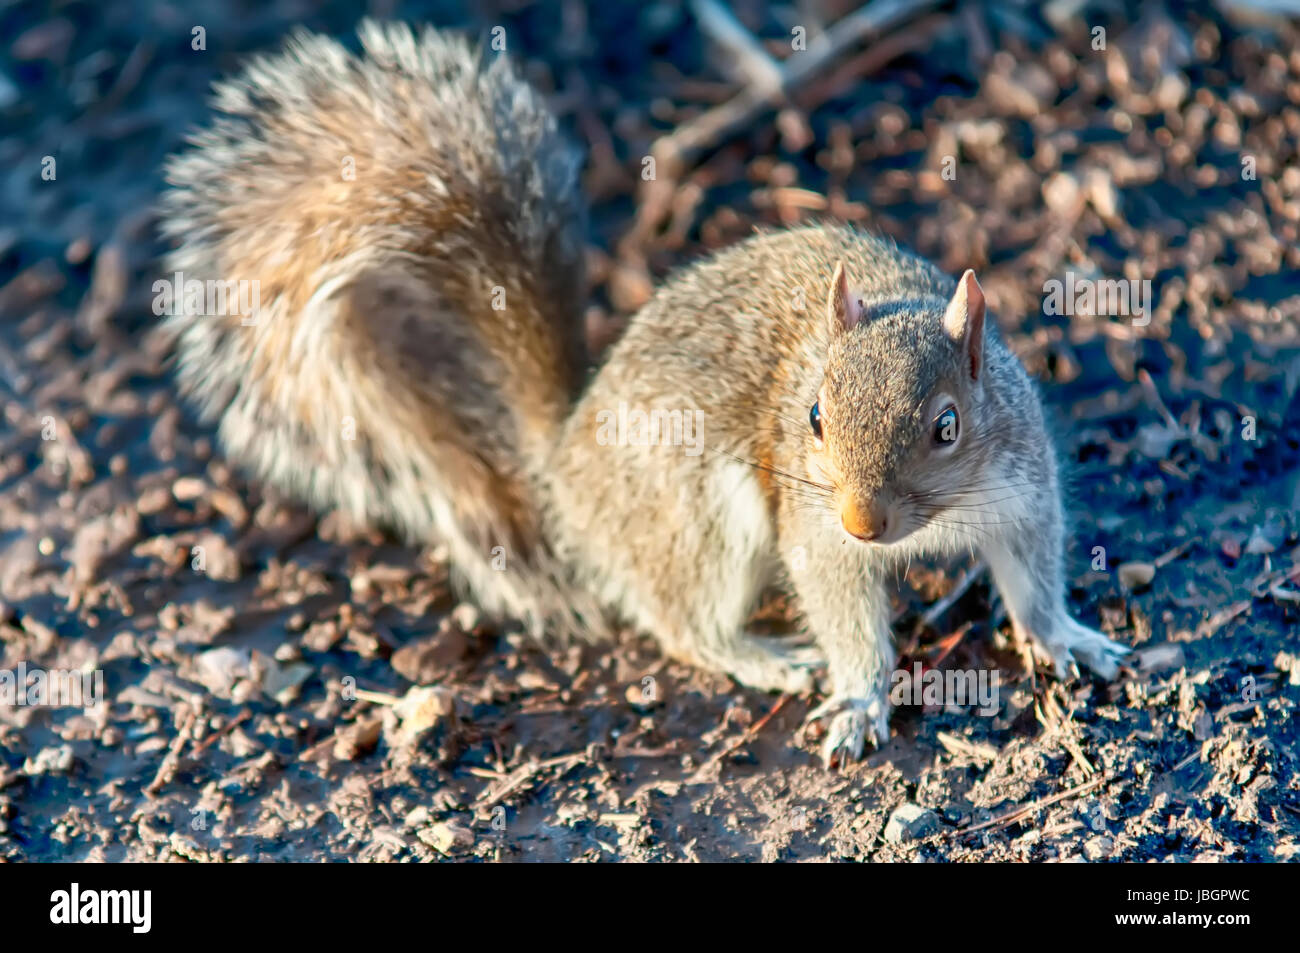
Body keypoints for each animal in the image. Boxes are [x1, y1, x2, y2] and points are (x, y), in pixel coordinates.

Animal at [159, 21, 1128, 766]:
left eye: (946, 426)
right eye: (813, 417)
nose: (862, 520)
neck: (935, 519)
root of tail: (561, 467)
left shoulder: (1022, 487)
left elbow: (1033, 579)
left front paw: (1064, 637)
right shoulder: (812, 533)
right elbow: (846, 616)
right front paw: (858, 700)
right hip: (696, 515)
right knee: (682, 622)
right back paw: (762, 656)